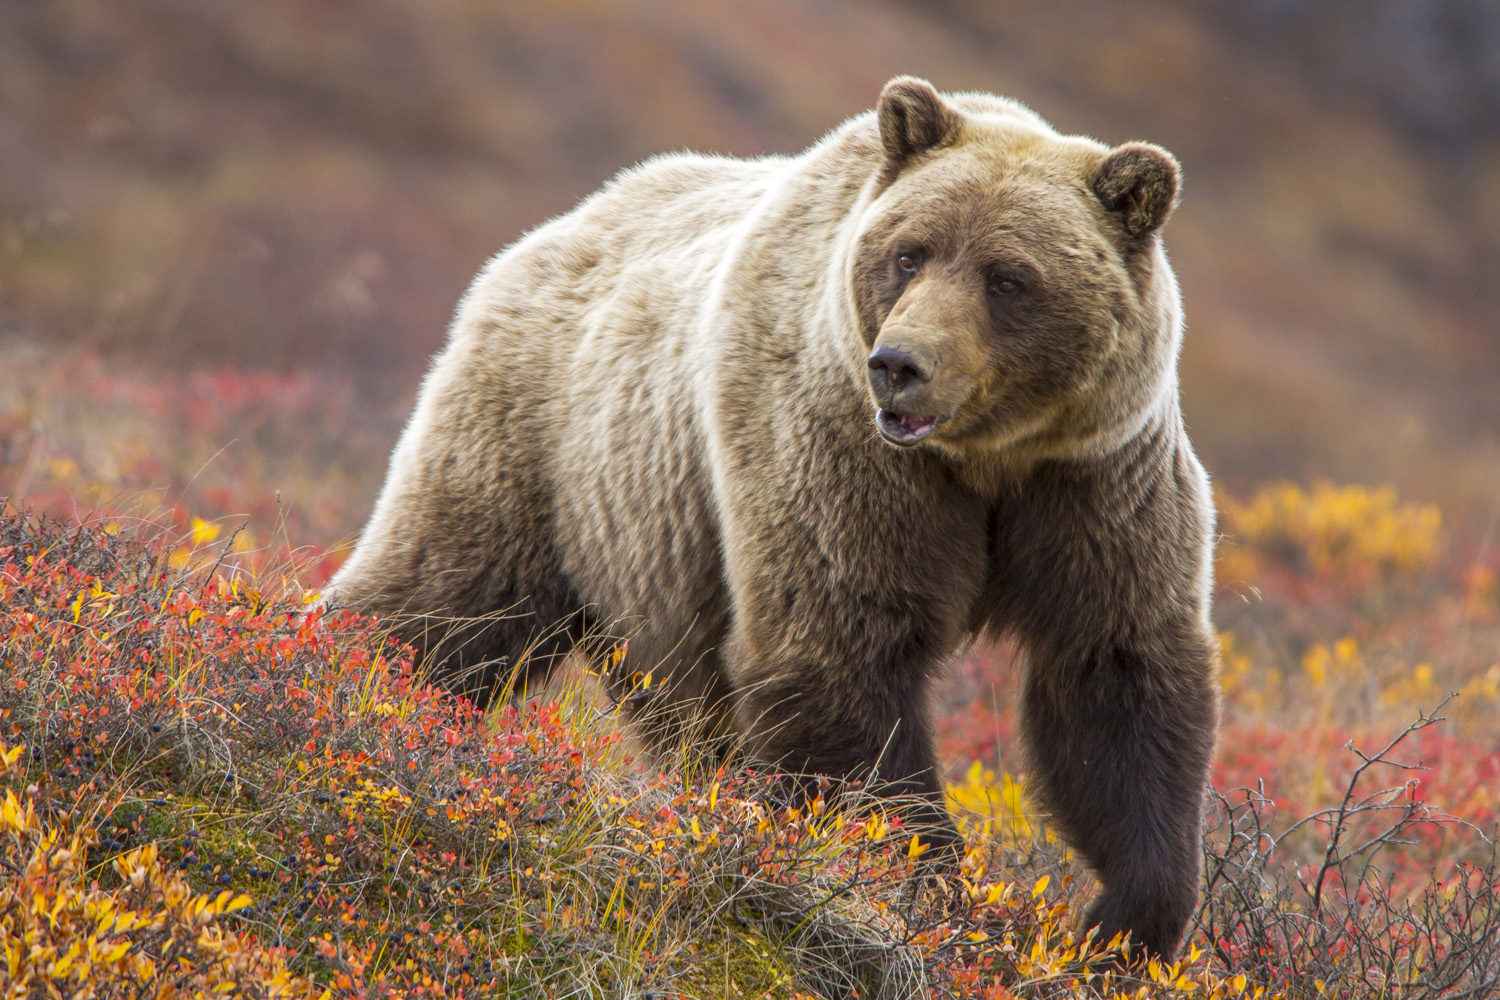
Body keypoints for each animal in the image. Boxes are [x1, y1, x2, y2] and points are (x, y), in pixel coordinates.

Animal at [328, 77, 1219, 960]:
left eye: (1009, 278)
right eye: (910, 253)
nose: (899, 365)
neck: (984, 459)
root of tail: (554, 231)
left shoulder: (1094, 482)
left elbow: (1114, 672)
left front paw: (1125, 923)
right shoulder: (839, 456)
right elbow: (840, 657)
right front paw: (922, 889)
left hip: (657, 568)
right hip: (540, 446)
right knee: (441, 600)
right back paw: (351, 684)